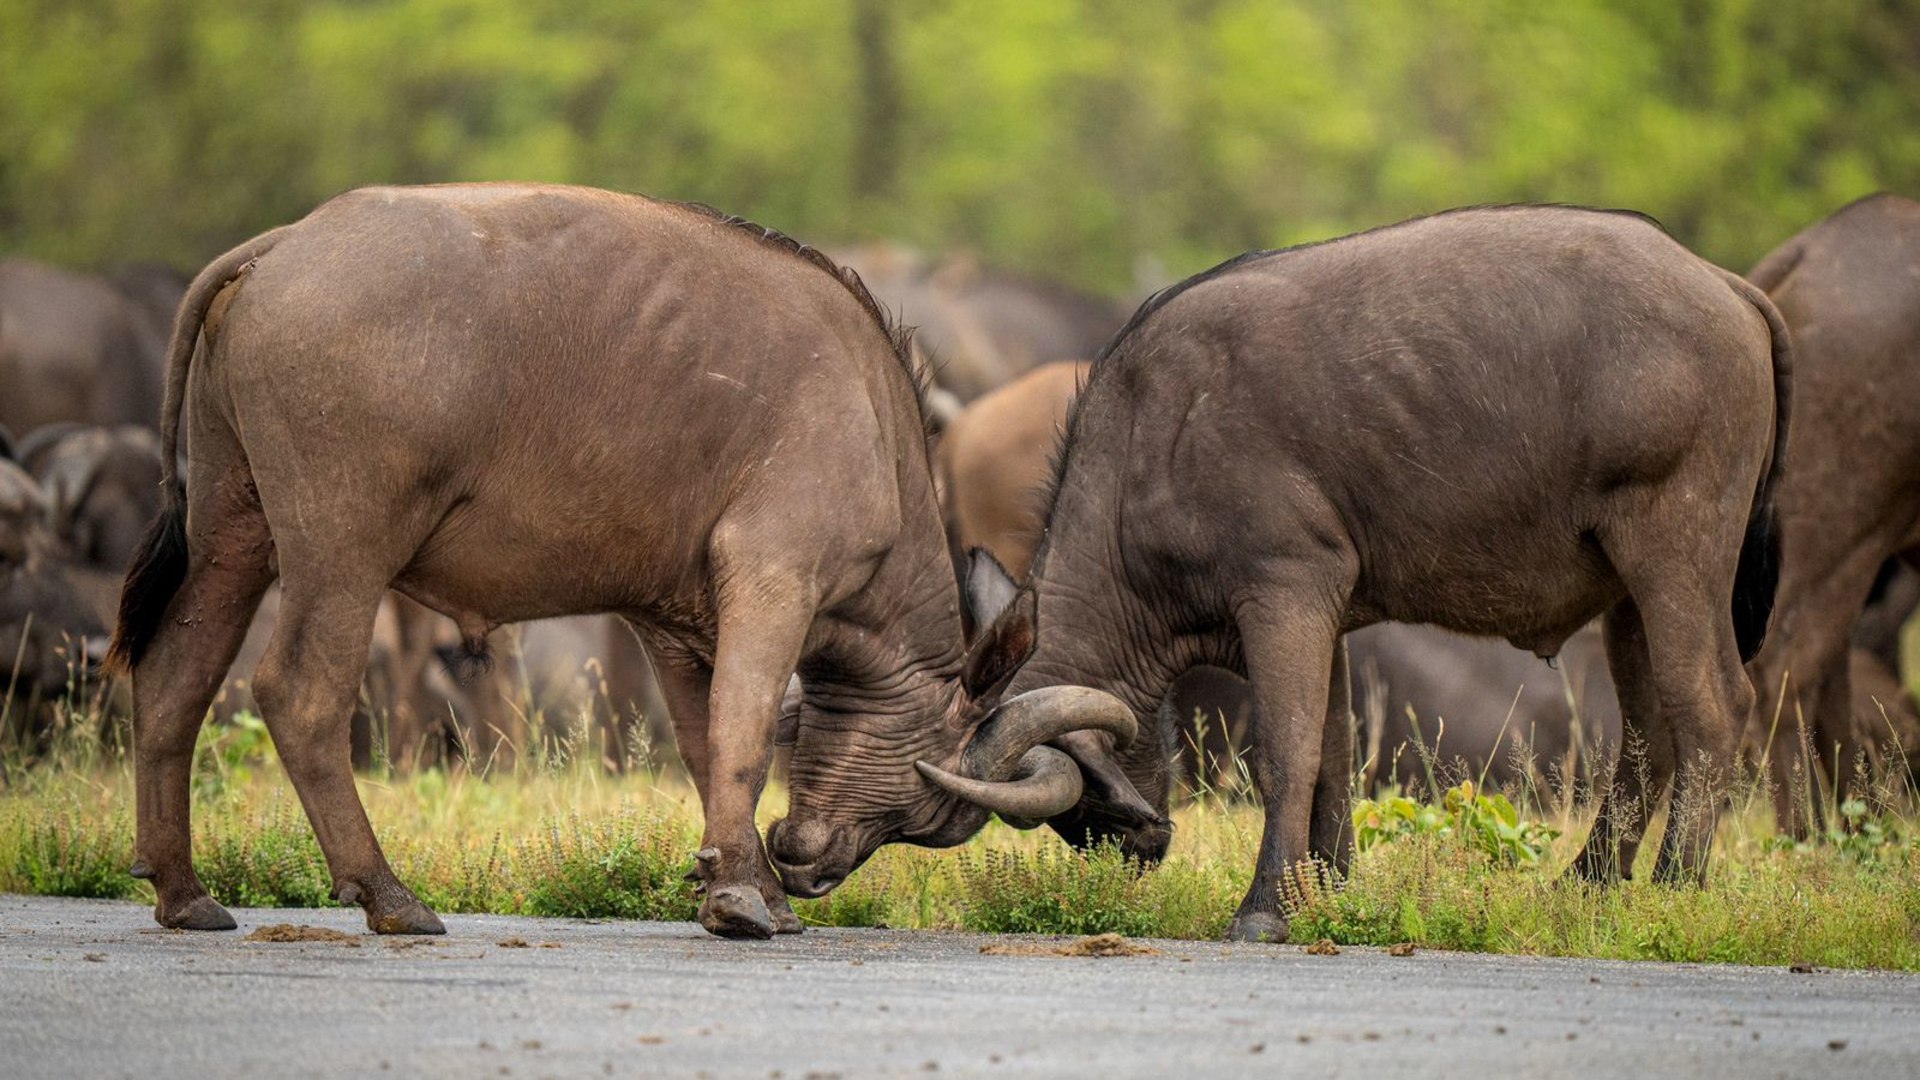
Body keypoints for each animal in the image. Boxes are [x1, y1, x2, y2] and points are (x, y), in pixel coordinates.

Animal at [108, 183, 1131, 939]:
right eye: (923, 812)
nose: (813, 870)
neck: (872, 419)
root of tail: (284, 245)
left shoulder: (673, 624)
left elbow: (705, 743)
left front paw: (742, 883)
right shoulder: (773, 581)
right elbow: (745, 736)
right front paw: (746, 899)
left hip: (234, 528)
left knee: (175, 677)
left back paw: (184, 894)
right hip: (342, 550)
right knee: (300, 695)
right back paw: (388, 895)